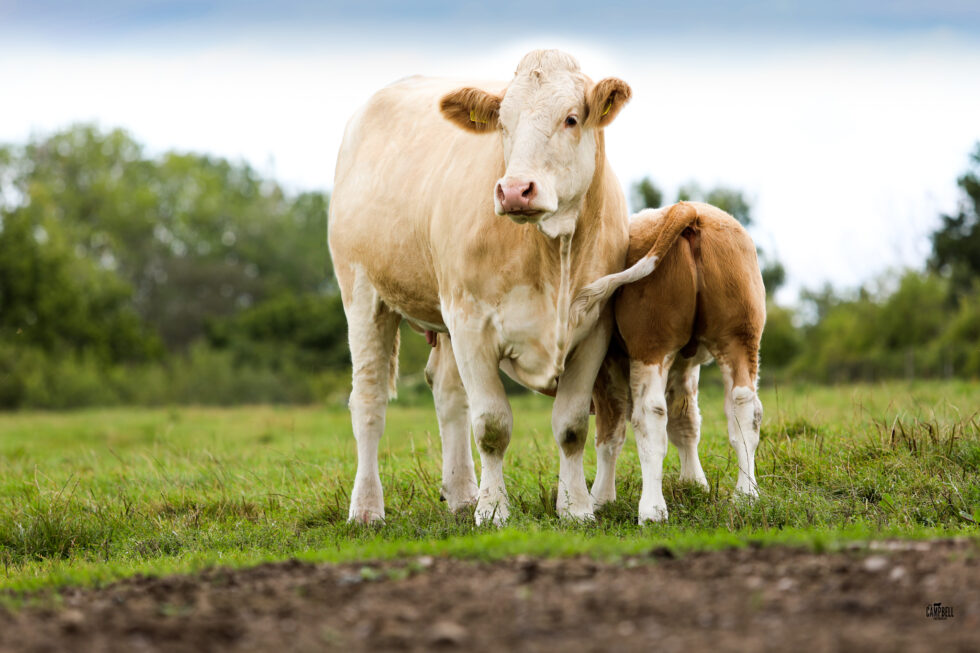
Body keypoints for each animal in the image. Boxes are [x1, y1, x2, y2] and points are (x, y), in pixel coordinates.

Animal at [329, 50, 692, 525]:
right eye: (503, 123)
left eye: (571, 118)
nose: (515, 190)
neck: (553, 255)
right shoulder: (471, 325)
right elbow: (492, 426)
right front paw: (494, 510)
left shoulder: (594, 328)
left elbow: (571, 425)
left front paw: (575, 507)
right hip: (363, 293)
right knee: (369, 400)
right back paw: (368, 508)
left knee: (448, 395)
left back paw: (462, 493)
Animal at [586, 202, 767, 524]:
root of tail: (688, 209)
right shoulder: (685, 365)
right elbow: (686, 421)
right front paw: (694, 484)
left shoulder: (605, 366)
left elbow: (610, 434)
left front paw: (601, 500)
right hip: (740, 338)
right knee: (744, 409)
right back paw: (746, 496)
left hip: (651, 344)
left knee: (649, 415)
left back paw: (652, 510)